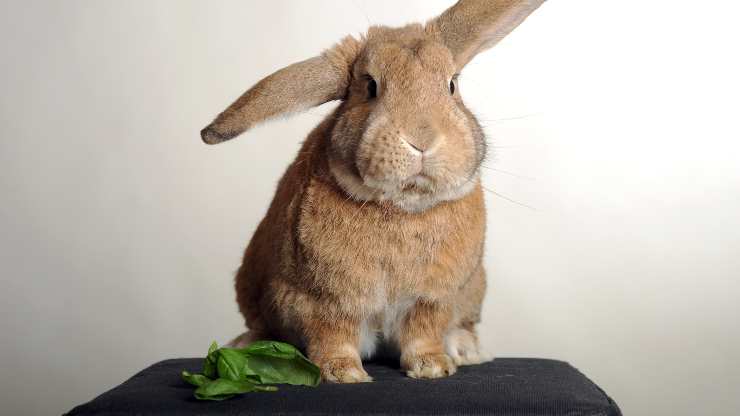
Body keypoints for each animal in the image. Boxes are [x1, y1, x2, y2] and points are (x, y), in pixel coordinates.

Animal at [201, 0, 545, 383]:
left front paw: (433, 368)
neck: (403, 208)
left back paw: (466, 351)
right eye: (370, 86)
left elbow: (424, 333)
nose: (422, 140)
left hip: (475, 289)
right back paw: (243, 345)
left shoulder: (432, 300)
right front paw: (343, 374)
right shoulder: (319, 301)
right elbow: (332, 337)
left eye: (452, 85)